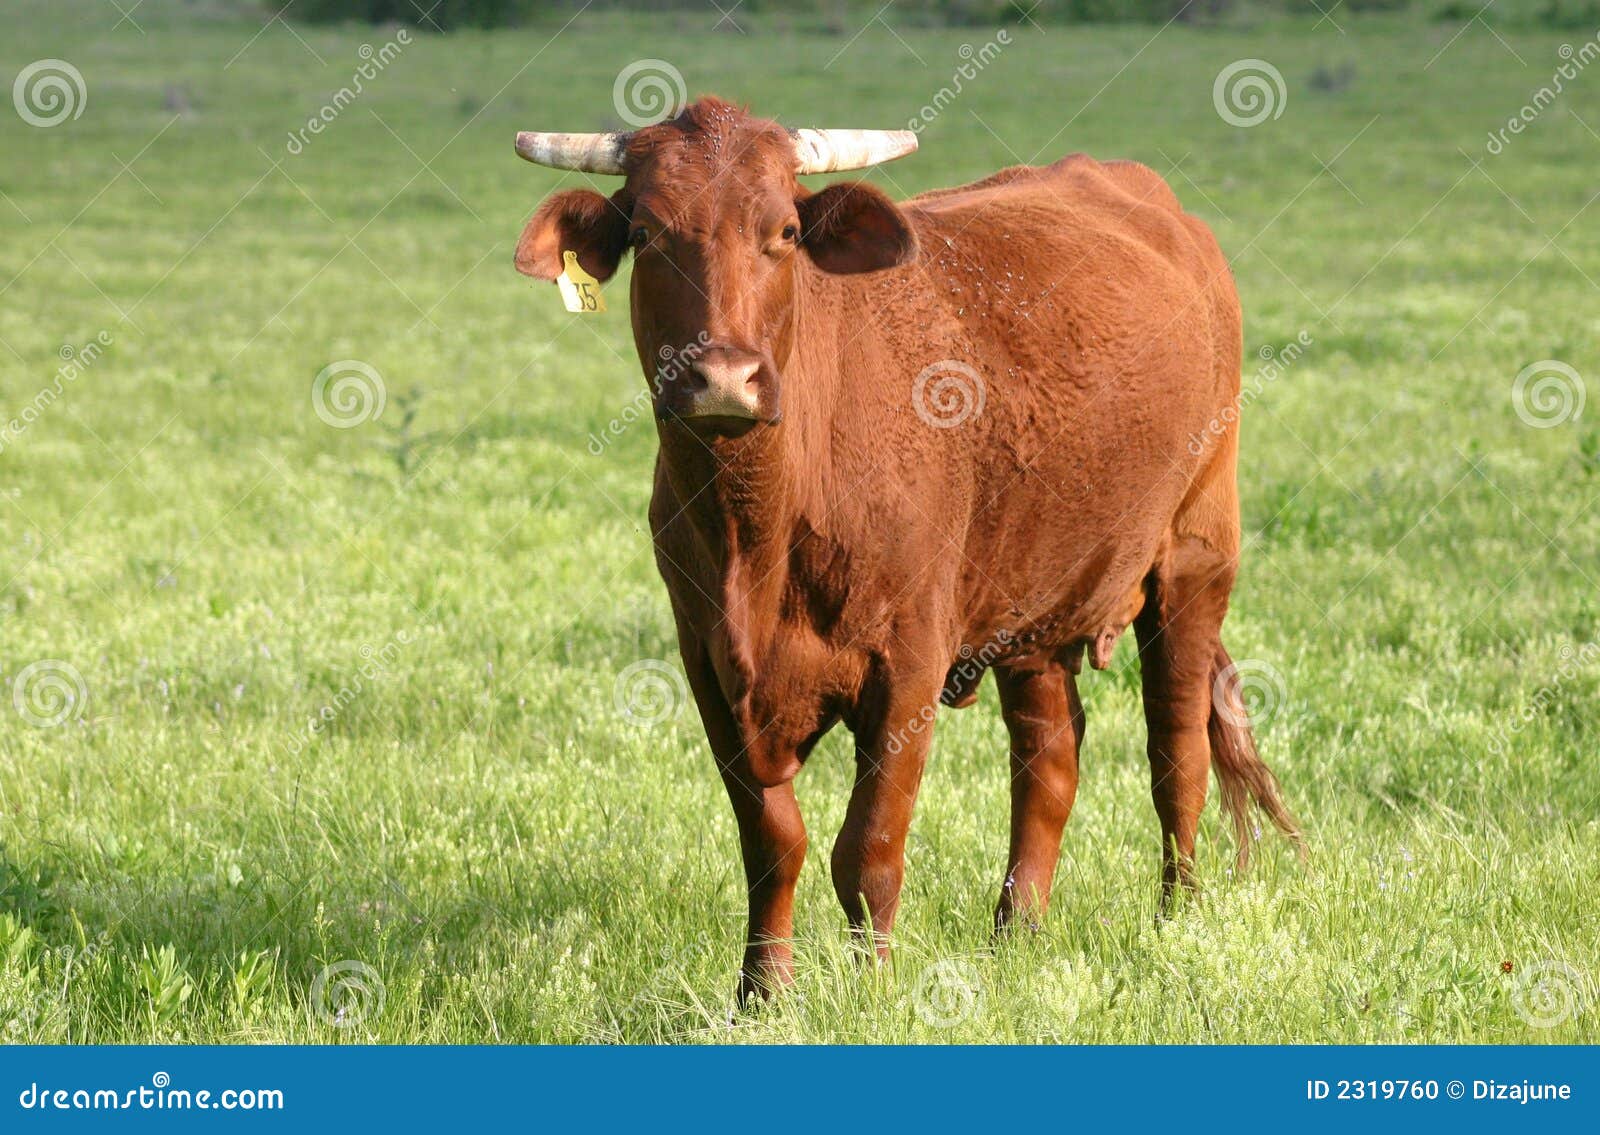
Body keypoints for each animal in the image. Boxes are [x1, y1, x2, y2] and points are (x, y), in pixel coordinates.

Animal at [513, 98, 1301, 1001]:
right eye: (645, 232)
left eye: (785, 231)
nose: (722, 377)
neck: (756, 534)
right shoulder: (708, 663)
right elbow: (772, 841)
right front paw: (761, 993)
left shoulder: (908, 662)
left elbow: (869, 849)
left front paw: (874, 991)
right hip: (1032, 593)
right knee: (1049, 757)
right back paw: (1015, 932)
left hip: (1197, 555)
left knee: (1176, 749)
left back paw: (1177, 916)